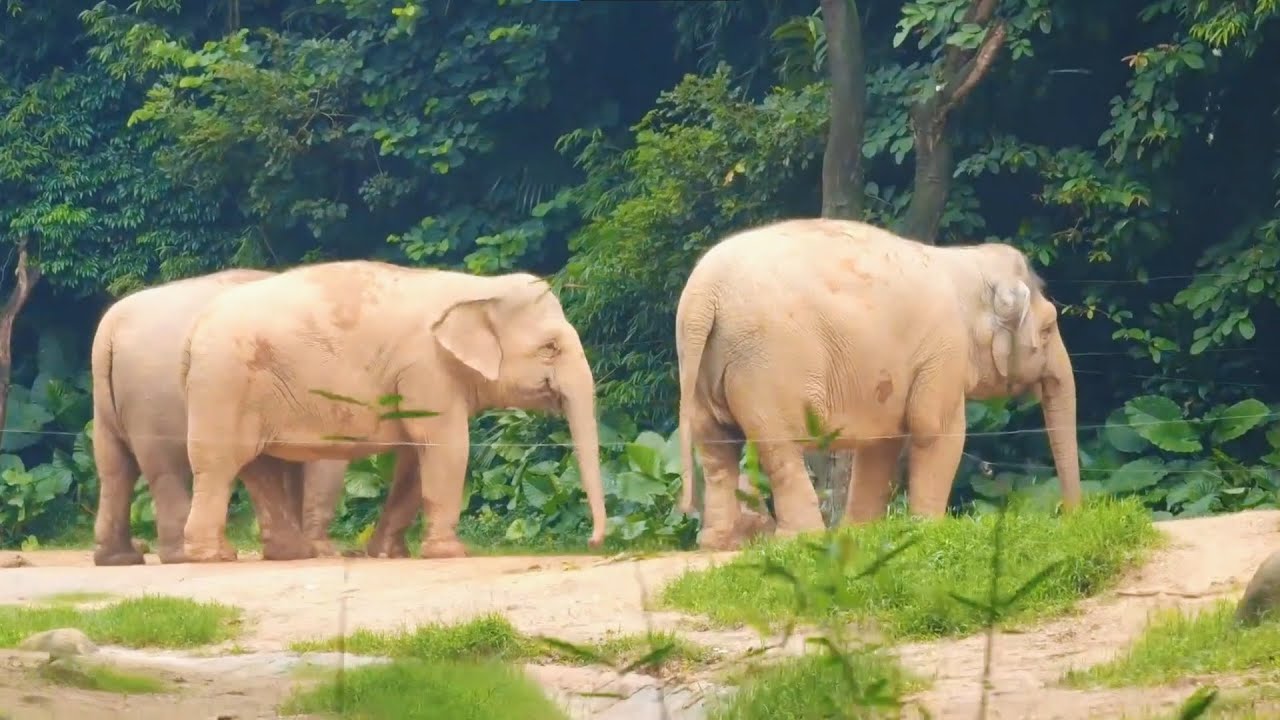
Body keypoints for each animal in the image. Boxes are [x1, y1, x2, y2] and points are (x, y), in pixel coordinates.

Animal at [90, 268, 352, 565]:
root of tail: (109, 330)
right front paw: (320, 551)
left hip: (108, 404)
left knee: (115, 470)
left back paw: (121, 558)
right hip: (153, 401)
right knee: (166, 470)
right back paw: (181, 555)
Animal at [177, 260, 608, 562]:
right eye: (550, 348)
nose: (593, 542)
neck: (478, 288)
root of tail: (193, 332)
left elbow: (415, 457)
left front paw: (389, 554)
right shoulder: (426, 368)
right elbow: (445, 448)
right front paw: (451, 553)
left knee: (255, 467)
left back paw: (283, 554)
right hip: (224, 385)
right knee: (219, 465)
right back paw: (212, 556)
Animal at [674, 217, 1081, 550]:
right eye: (1048, 329)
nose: (1069, 516)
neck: (966, 263)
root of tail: (703, 295)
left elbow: (882, 443)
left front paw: (861, 534)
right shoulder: (944, 352)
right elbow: (938, 431)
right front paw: (928, 530)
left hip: (706, 366)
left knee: (717, 447)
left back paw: (720, 543)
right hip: (767, 365)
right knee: (780, 448)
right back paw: (799, 540)